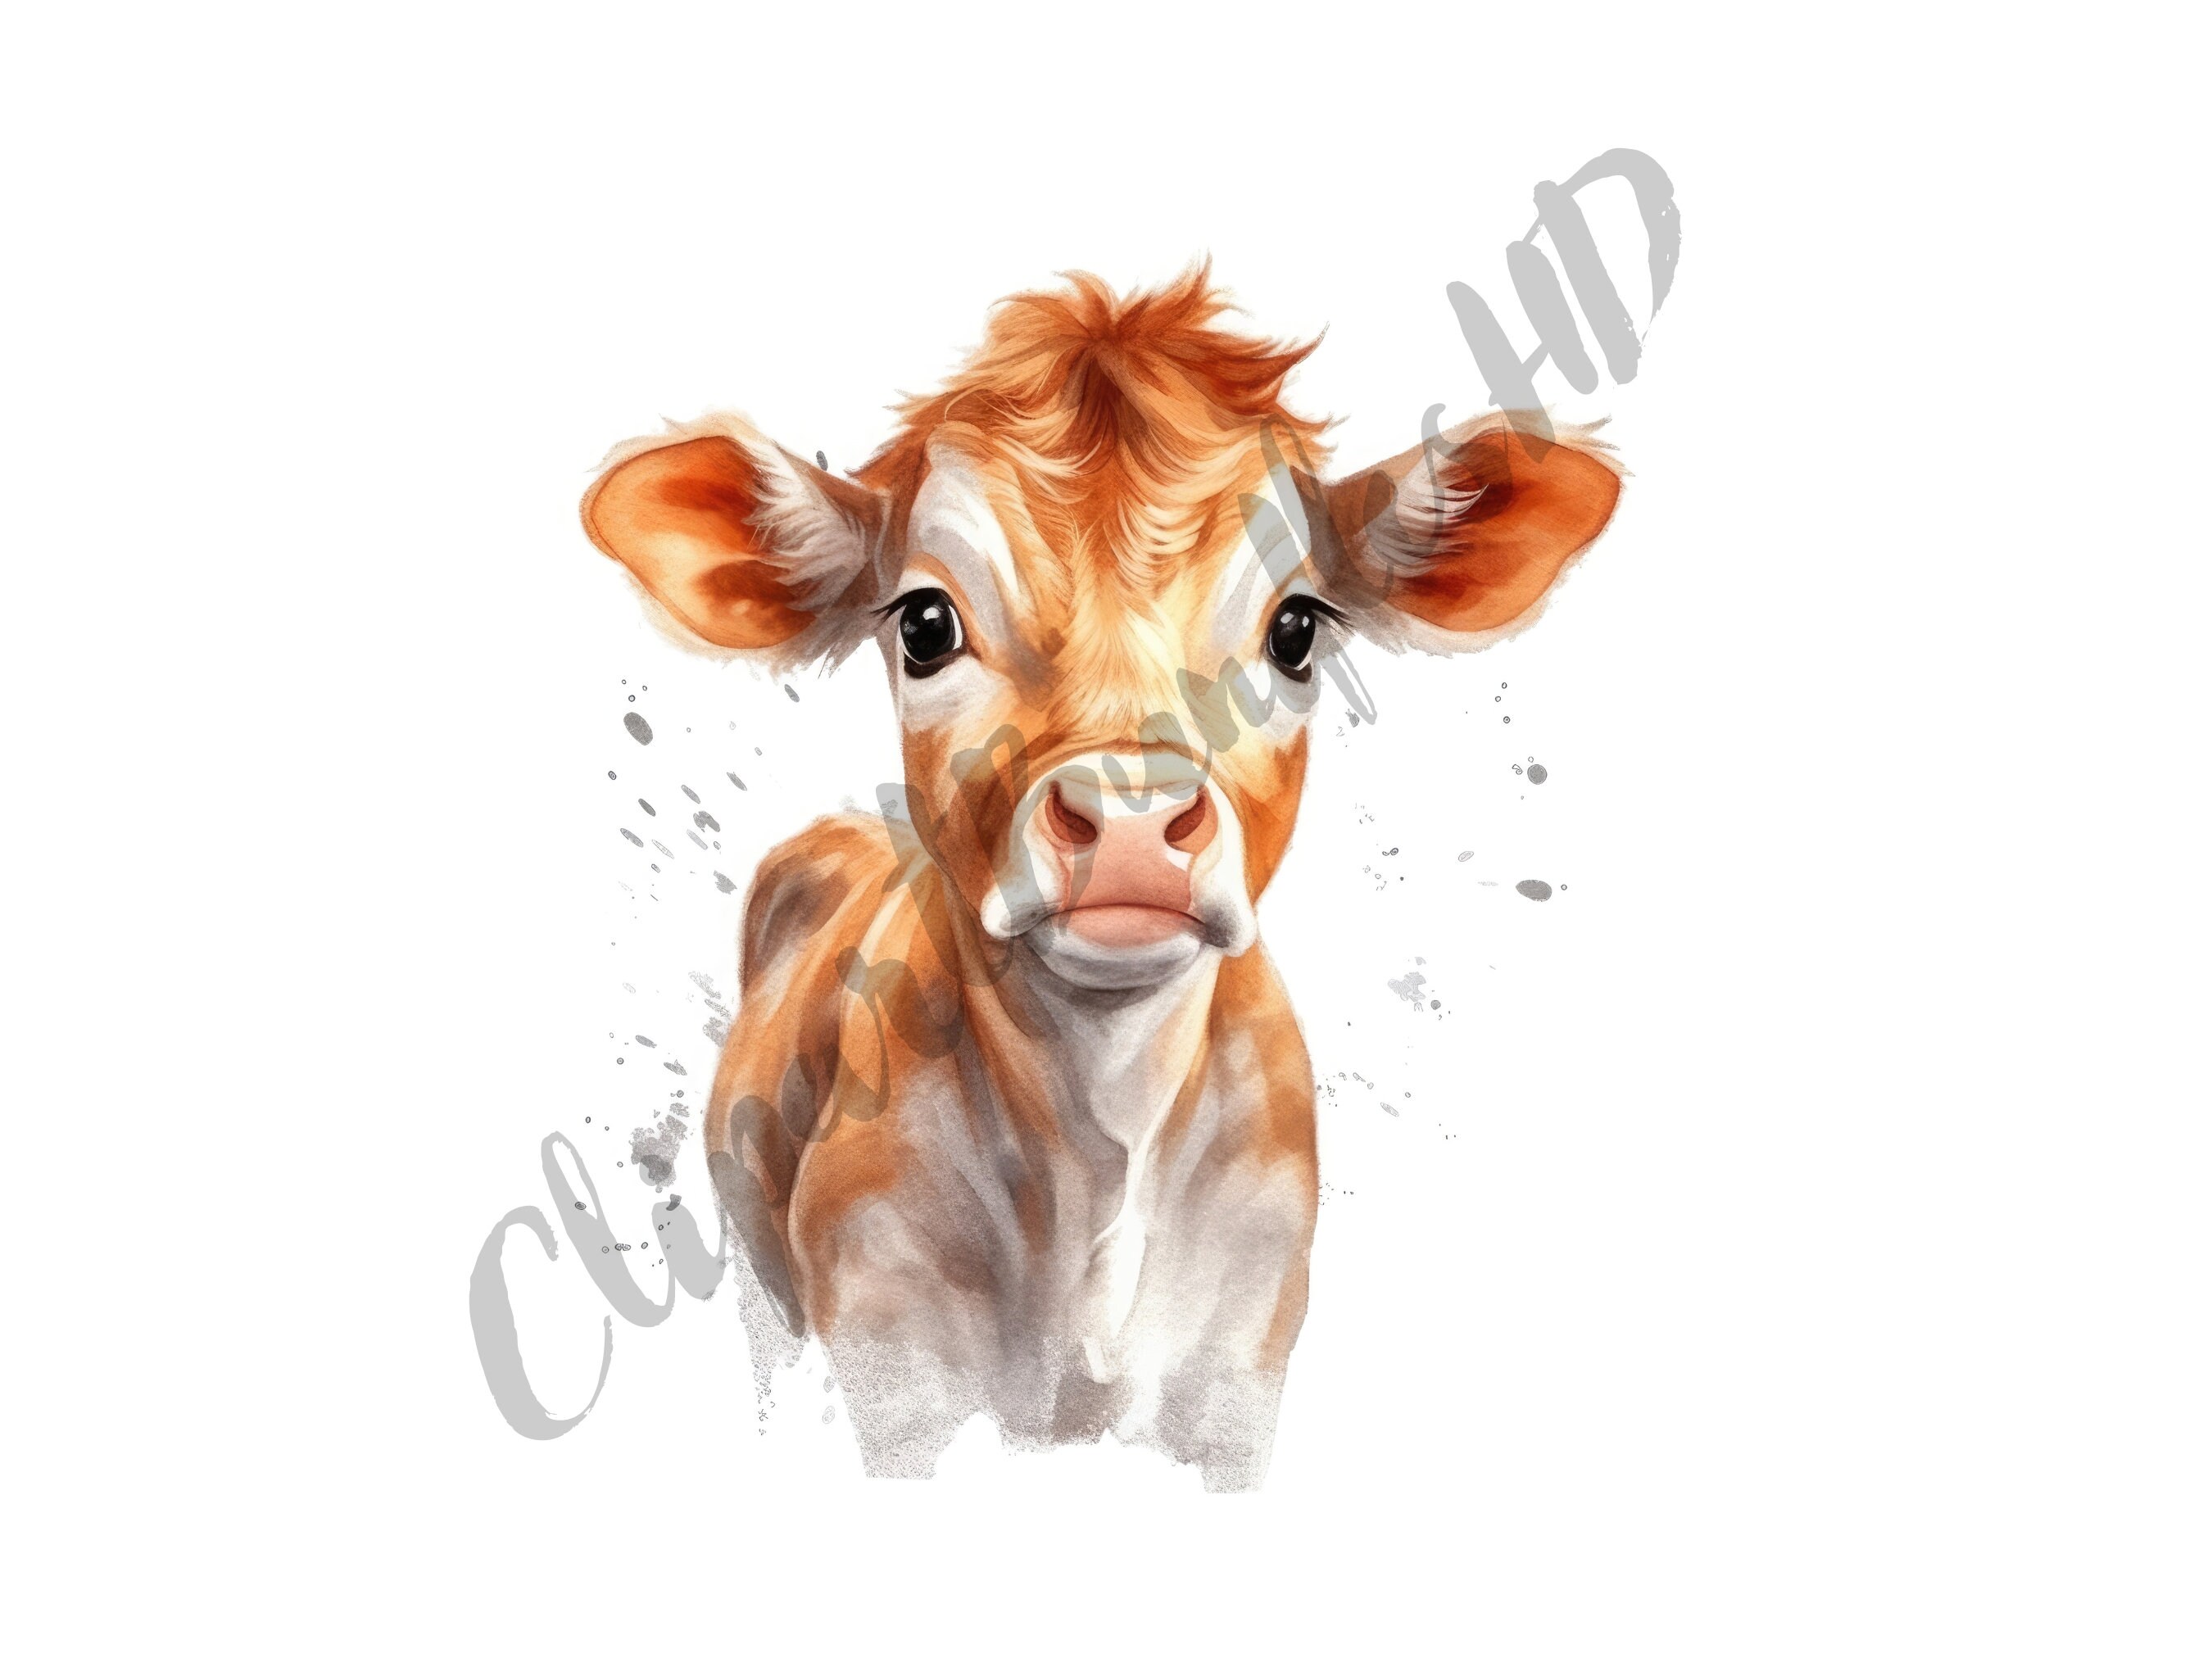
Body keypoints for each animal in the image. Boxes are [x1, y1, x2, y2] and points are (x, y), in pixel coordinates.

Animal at [580, 267, 1622, 1489]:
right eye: (925, 623)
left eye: (1297, 627)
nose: (1130, 818)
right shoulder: (894, 1379)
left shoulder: (1239, 1384)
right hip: (762, 1289)